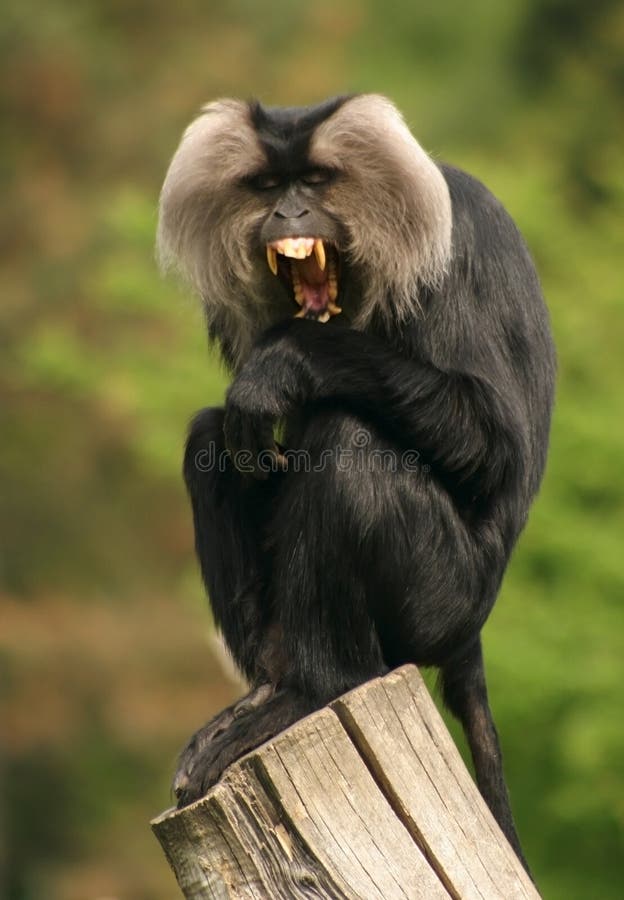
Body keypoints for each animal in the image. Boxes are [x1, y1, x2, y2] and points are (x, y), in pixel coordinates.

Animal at [157, 94, 555, 871]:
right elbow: (242, 442)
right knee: (212, 441)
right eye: (267, 187)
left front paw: (284, 365)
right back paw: (270, 687)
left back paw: (314, 691)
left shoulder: (453, 250)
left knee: (349, 448)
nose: (288, 214)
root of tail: (470, 634)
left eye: (314, 181)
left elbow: (492, 442)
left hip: (441, 599)